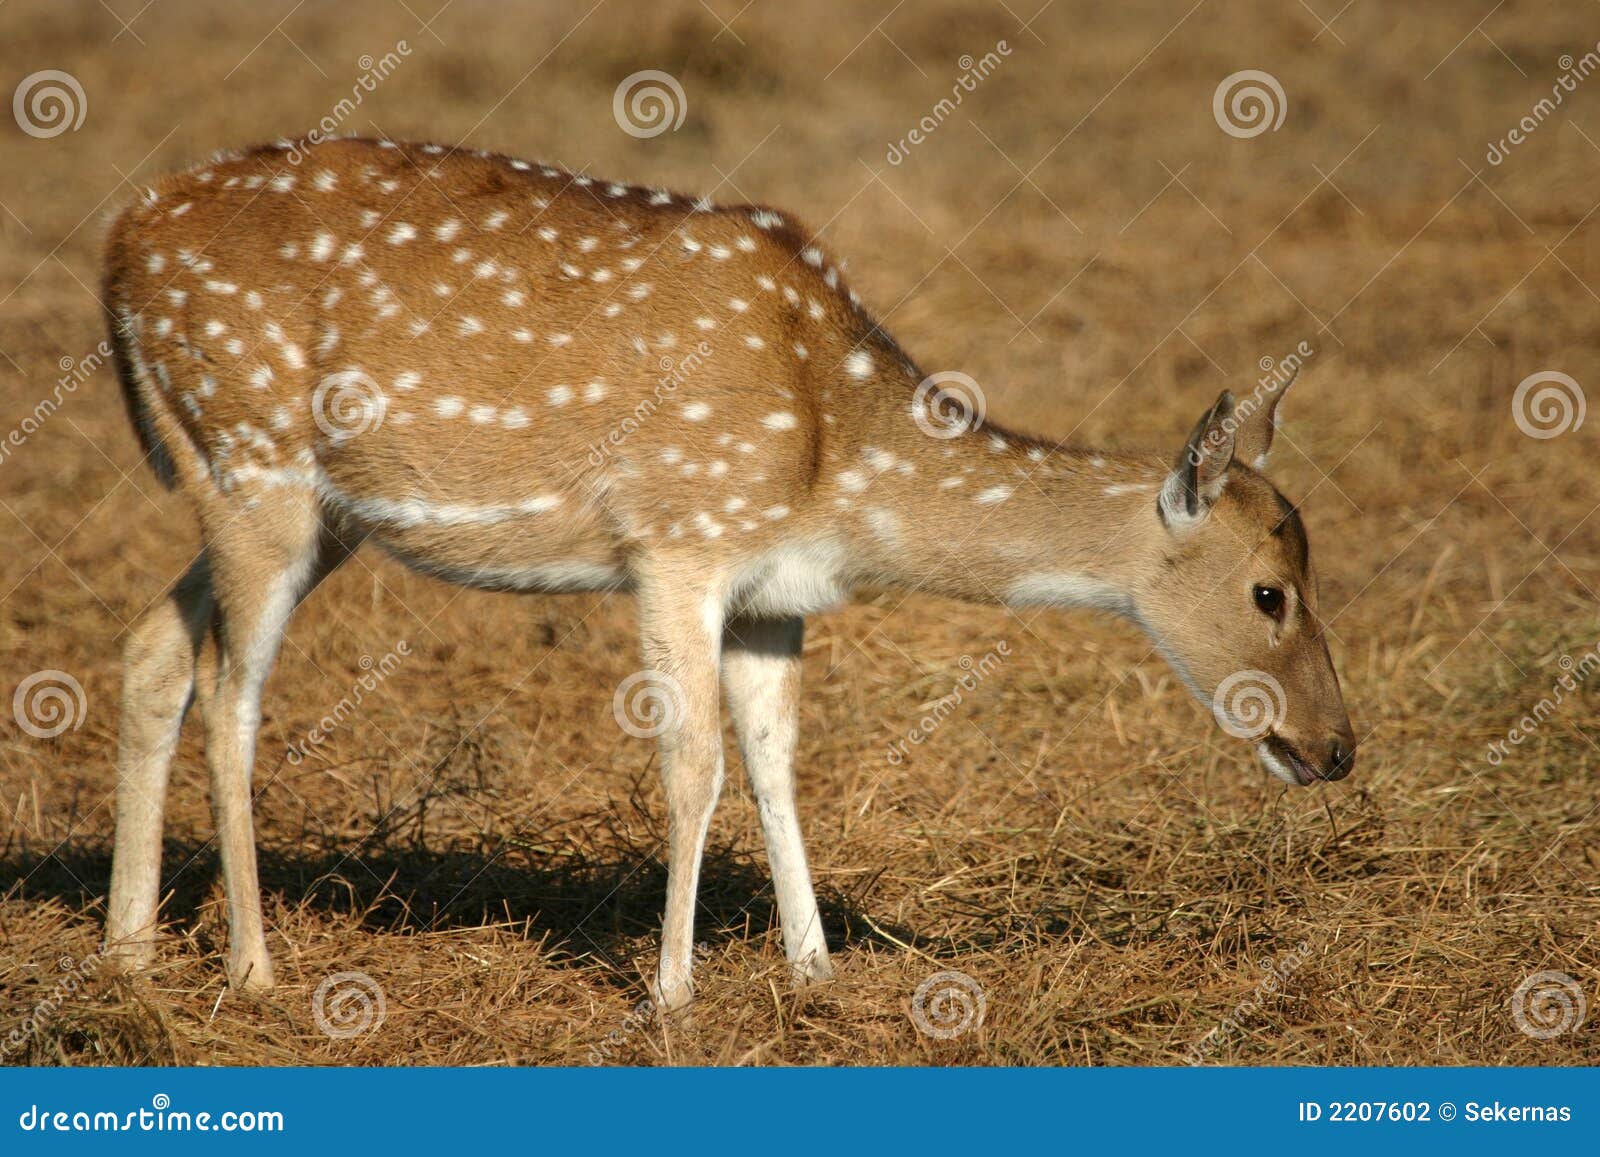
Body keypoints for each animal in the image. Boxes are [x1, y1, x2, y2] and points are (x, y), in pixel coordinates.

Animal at [99, 137, 1355, 1012]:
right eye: (1269, 590)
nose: (1338, 746)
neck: (832, 461)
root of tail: (116, 245)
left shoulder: (770, 592)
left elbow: (776, 759)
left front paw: (814, 970)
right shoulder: (676, 535)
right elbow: (692, 764)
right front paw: (671, 989)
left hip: (302, 505)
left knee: (156, 646)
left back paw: (127, 946)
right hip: (253, 458)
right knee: (234, 695)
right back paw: (252, 967)